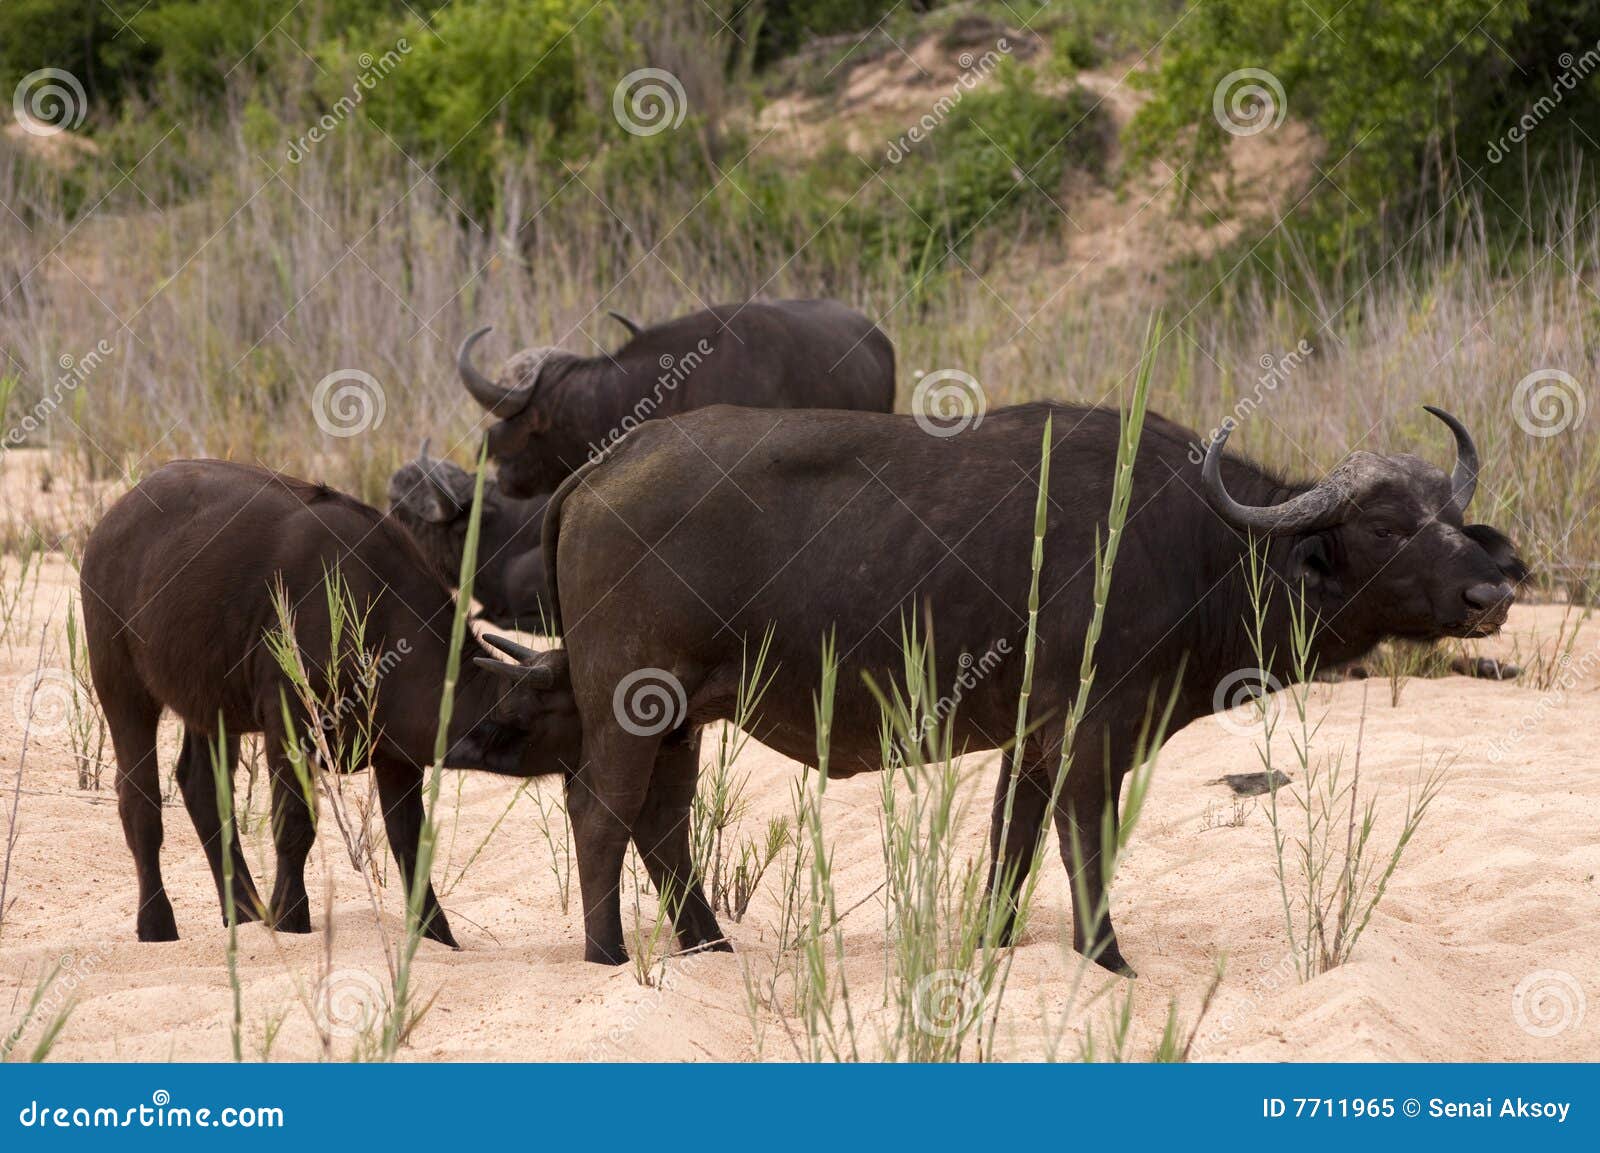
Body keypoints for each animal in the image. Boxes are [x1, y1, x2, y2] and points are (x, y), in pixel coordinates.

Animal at [80, 460, 579, 947]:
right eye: (575, 710)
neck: (372, 619)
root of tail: (109, 524)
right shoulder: (289, 727)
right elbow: (294, 824)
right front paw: (290, 917)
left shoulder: (397, 756)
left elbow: (409, 842)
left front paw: (436, 934)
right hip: (122, 686)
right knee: (139, 798)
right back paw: (157, 923)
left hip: (208, 703)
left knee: (201, 787)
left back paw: (244, 911)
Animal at [485, 402, 1523, 974]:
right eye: (1385, 525)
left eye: (1450, 513)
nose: (1491, 593)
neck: (1195, 543)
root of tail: (603, 466)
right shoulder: (1095, 731)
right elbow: (1084, 846)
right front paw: (1107, 958)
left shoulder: (1035, 737)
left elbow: (1012, 845)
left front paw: (996, 944)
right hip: (634, 701)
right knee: (601, 811)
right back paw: (608, 954)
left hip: (686, 717)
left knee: (662, 823)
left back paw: (709, 946)